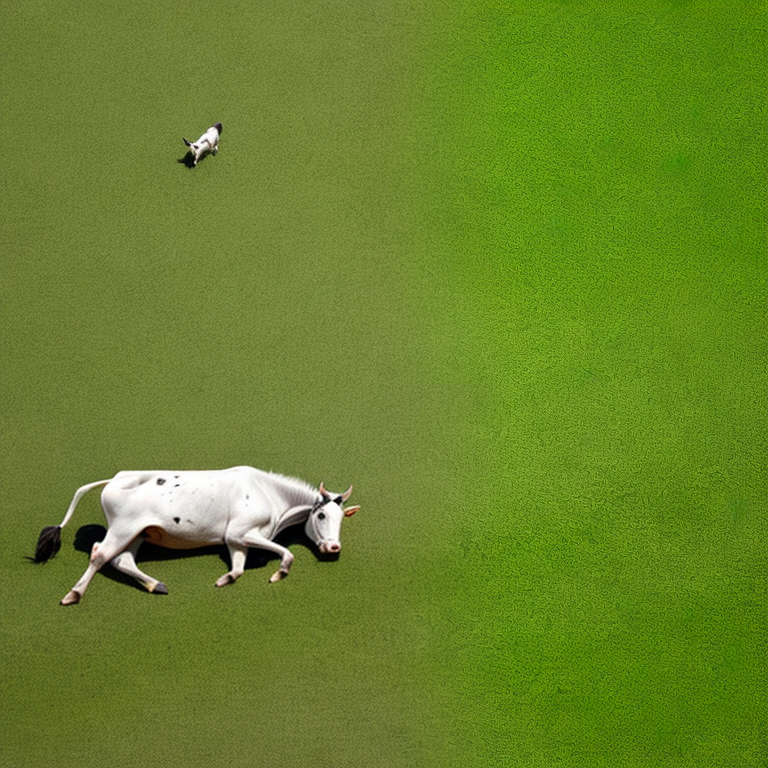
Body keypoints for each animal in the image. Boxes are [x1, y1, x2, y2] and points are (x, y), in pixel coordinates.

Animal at [32, 467, 360, 605]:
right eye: (321, 515)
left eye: (342, 519)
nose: (333, 547)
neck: (268, 493)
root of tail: (116, 478)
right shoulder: (240, 532)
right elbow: (286, 553)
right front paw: (279, 573)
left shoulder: (235, 541)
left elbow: (238, 569)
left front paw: (225, 578)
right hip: (123, 529)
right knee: (100, 554)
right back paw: (73, 594)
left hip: (137, 533)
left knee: (121, 560)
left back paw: (156, 585)